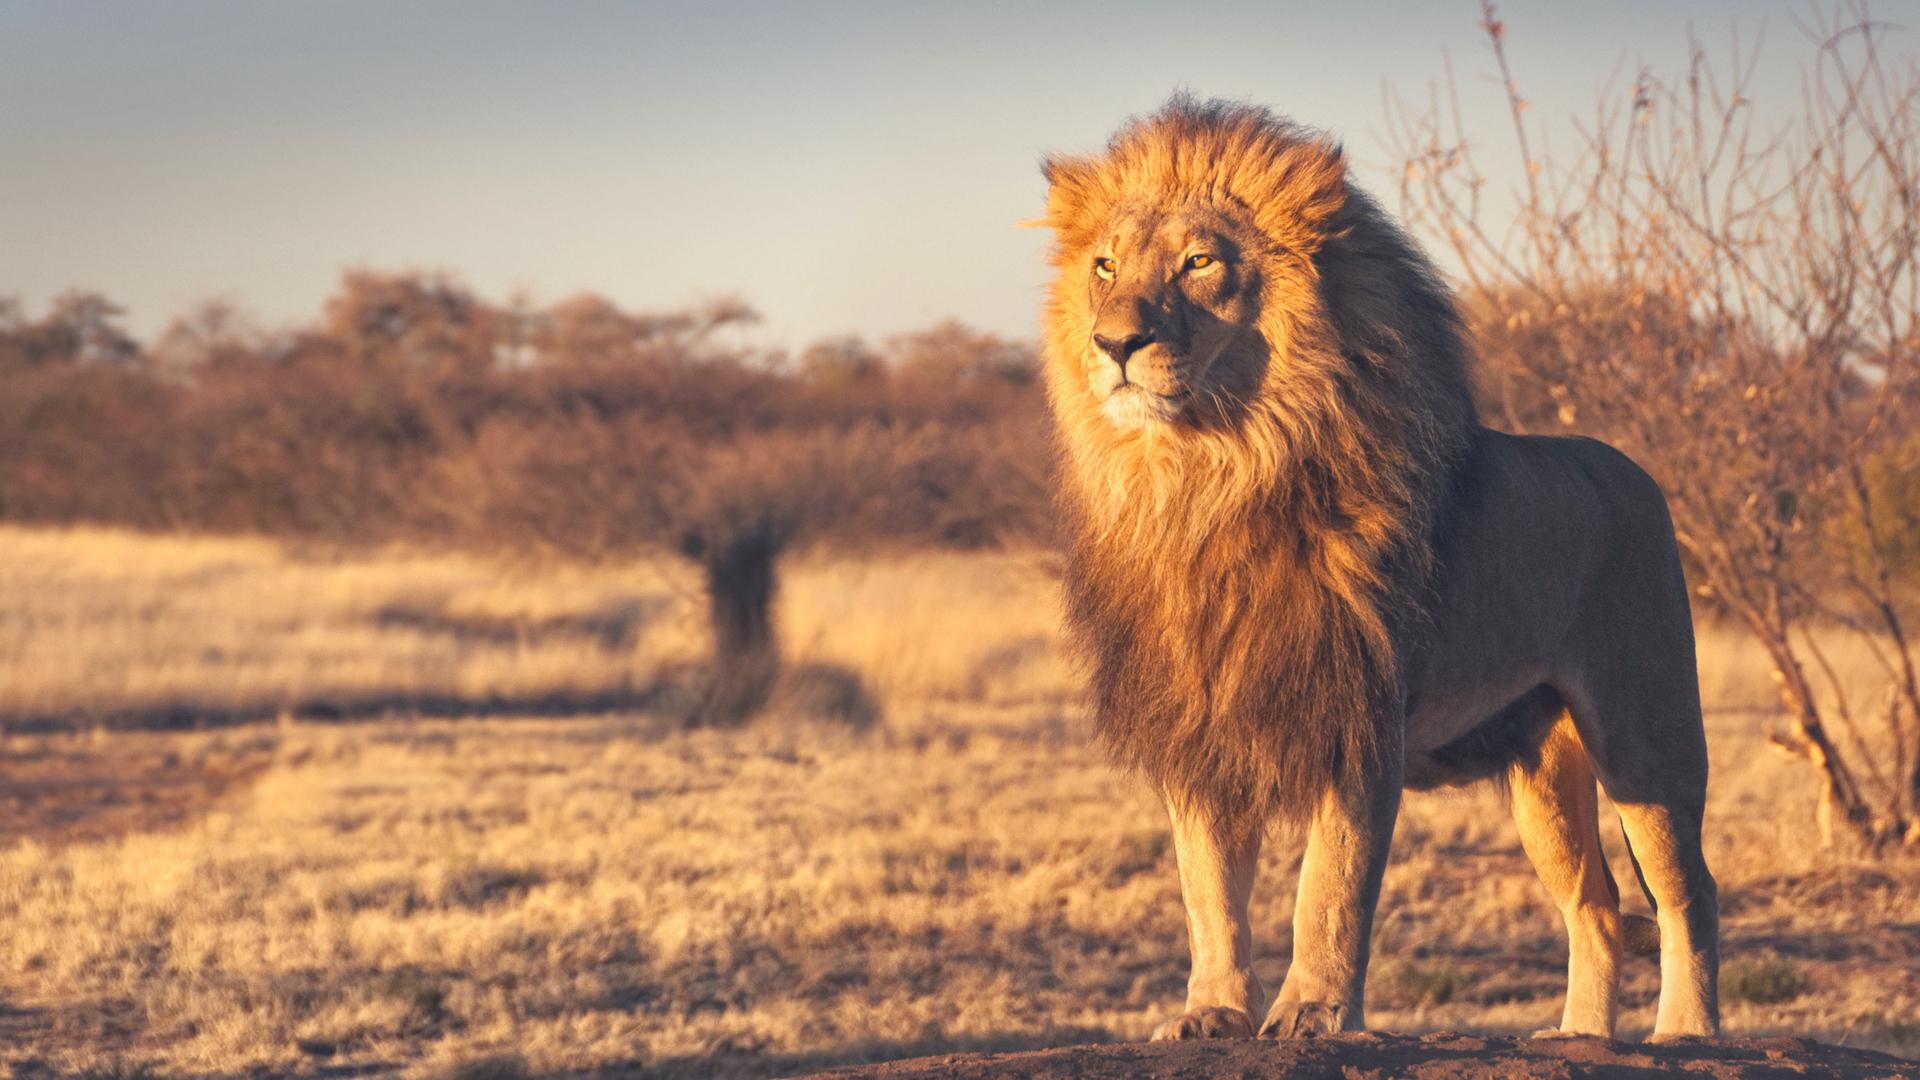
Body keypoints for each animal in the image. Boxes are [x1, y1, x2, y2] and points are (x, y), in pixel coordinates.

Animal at [1036, 97, 1719, 1043]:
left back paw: (1686, 1032)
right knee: (1598, 904)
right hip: (1543, 772)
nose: (1114, 342)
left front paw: (1313, 1012)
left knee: (1689, 888)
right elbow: (1207, 889)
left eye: (1200, 262)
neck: (1209, 480)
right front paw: (1212, 1012)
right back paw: (1580, 1036)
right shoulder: (1199, 724)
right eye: (1104, 266)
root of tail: (1635, 471)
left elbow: (1331, 884)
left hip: (1645, 731)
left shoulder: (1359, 711)